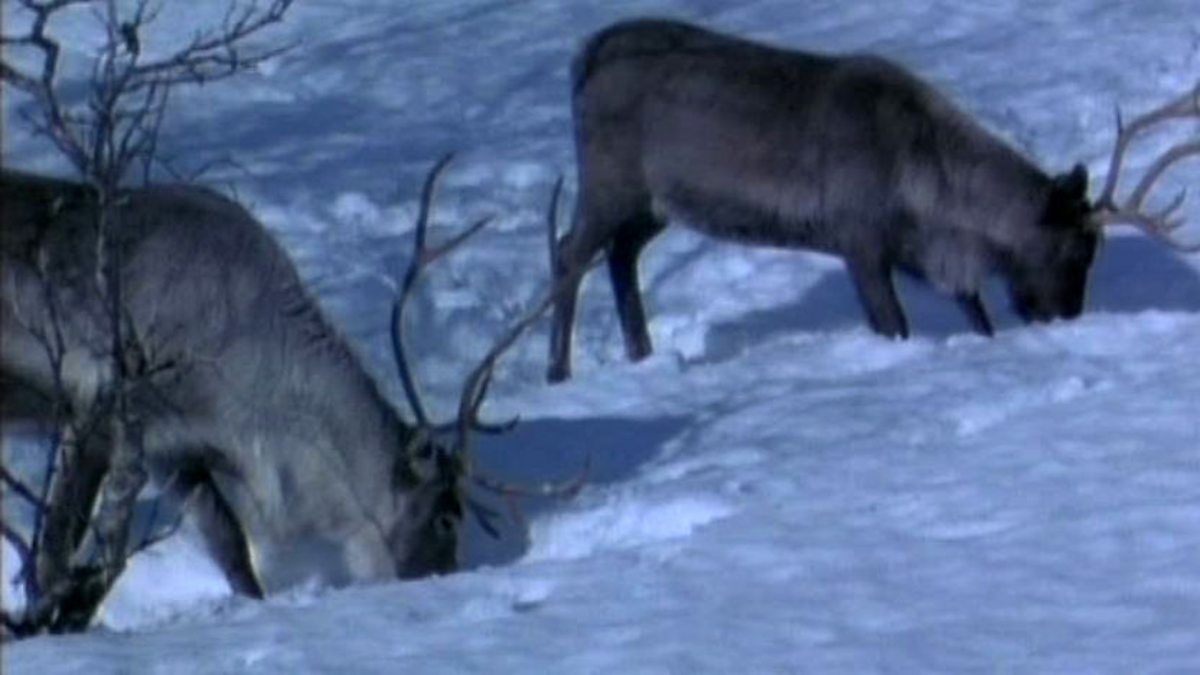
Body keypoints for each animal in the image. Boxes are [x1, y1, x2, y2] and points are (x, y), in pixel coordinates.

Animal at [1, 156, 575, 614]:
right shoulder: (99, 412)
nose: (443, 579)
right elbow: (55, 550)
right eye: (446, 517)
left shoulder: (175, 449)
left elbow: (231, 545)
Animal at [546, 18, 1200, 383]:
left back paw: (641, 355)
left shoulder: (924, 256)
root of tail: (580, 60)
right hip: (609, 181)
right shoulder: (858, 239)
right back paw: (559, 372)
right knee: (568, 251)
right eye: (1075, 249)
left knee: (620, 256)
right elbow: (895, 325)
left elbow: (976, 315)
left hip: (652, 205)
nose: (1065, 315)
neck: (930, 191)